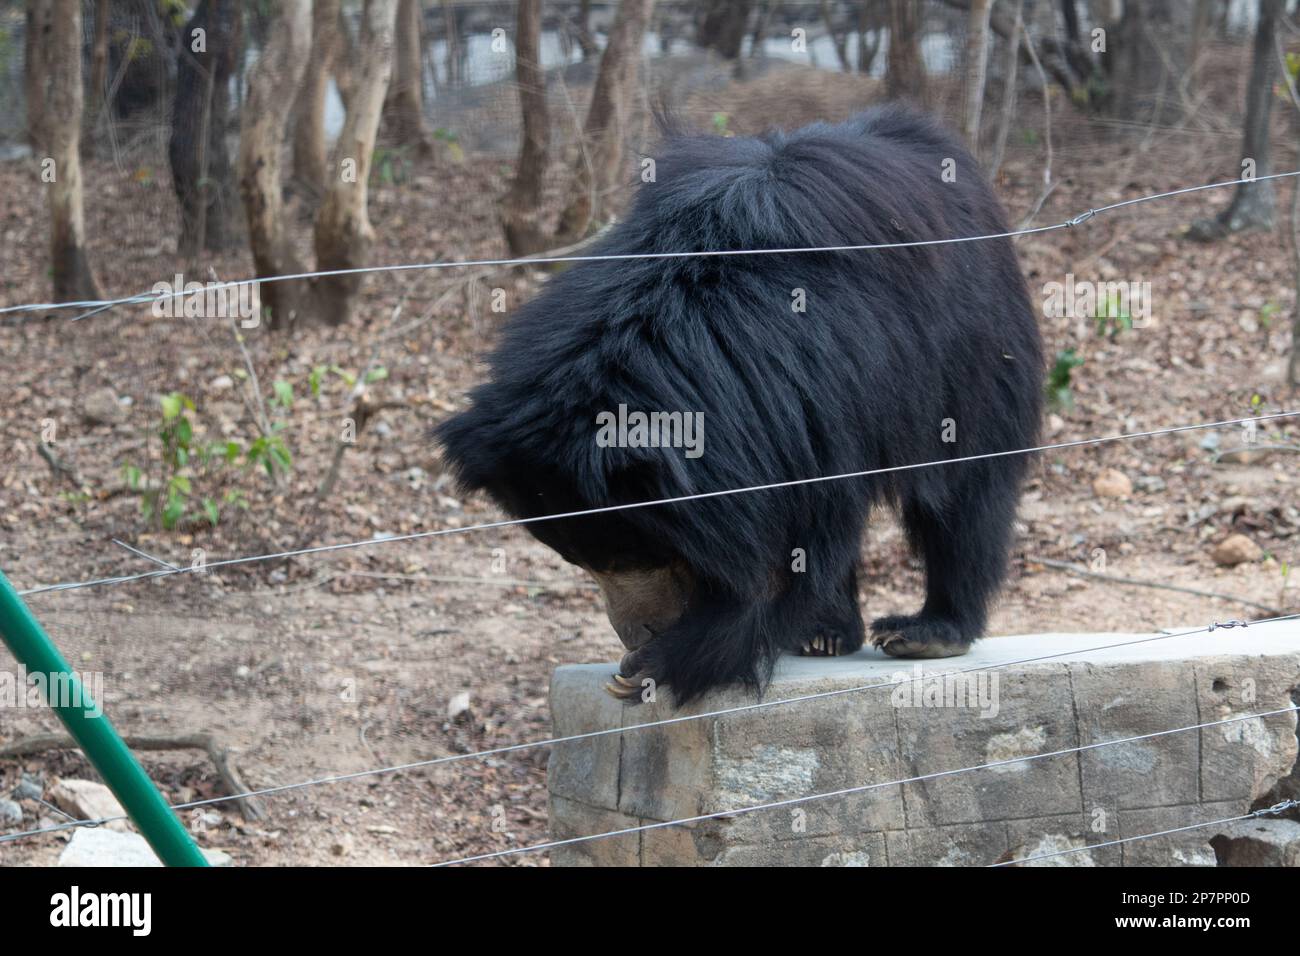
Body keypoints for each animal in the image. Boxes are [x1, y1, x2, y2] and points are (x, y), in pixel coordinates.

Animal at [436, 104, 1043, 706]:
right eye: (578, 561)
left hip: (976, 354)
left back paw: (928, 631)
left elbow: (786, 549)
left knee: (967, 490)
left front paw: (658, 663)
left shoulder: (818, 395)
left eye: (635, 556)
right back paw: (825, 635)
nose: (635, 633)